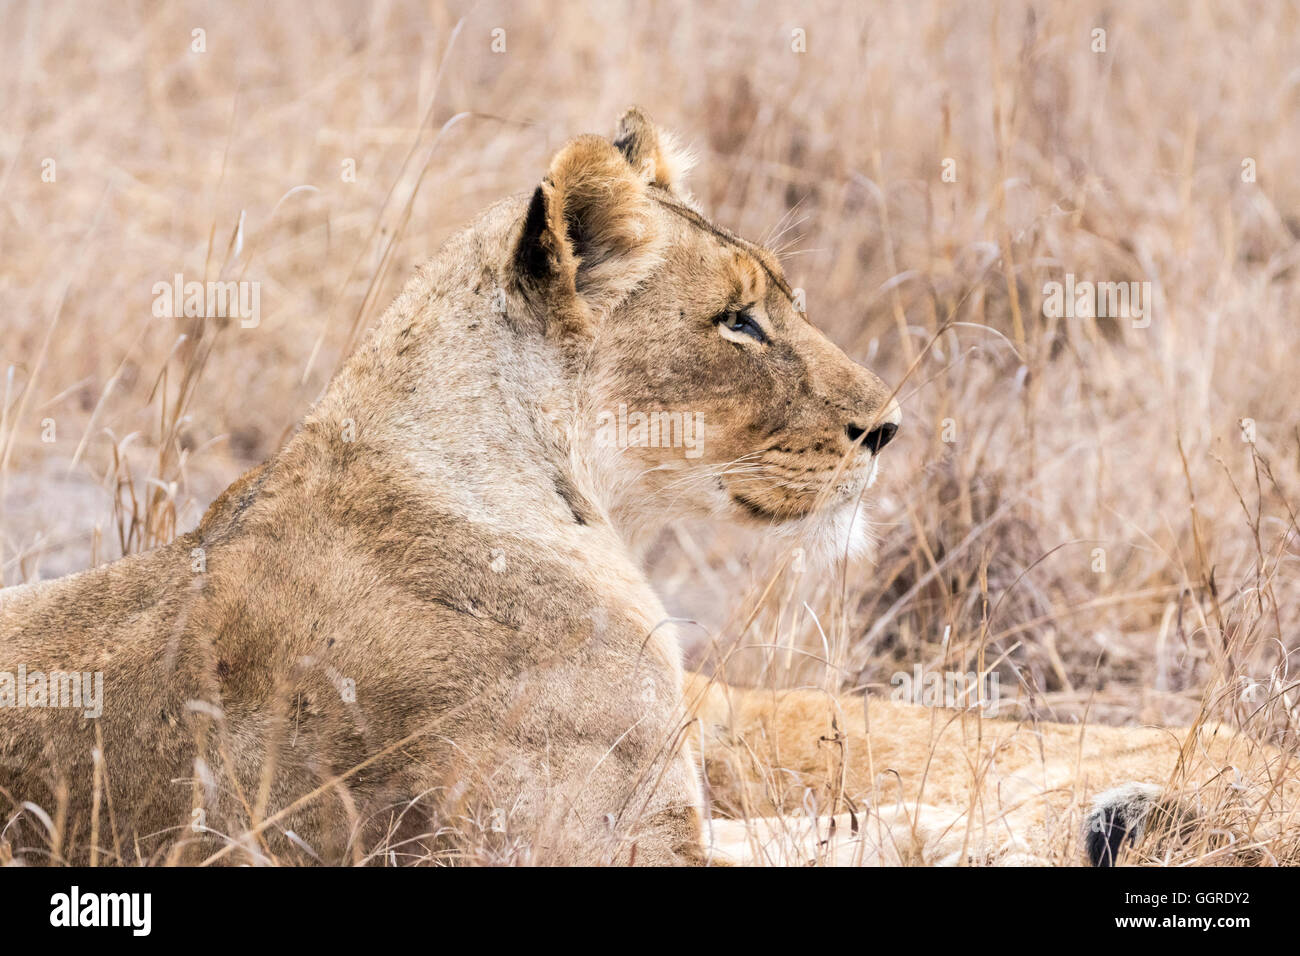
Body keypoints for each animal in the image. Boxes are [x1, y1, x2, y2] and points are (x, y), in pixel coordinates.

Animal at [0, 109, 1290, 866]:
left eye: (781, 299)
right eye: (736, 319)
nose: (886, 426)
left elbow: (876, 799)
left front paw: (1132, 801)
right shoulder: (592, 844)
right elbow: (871, 831)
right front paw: (1103, 817)